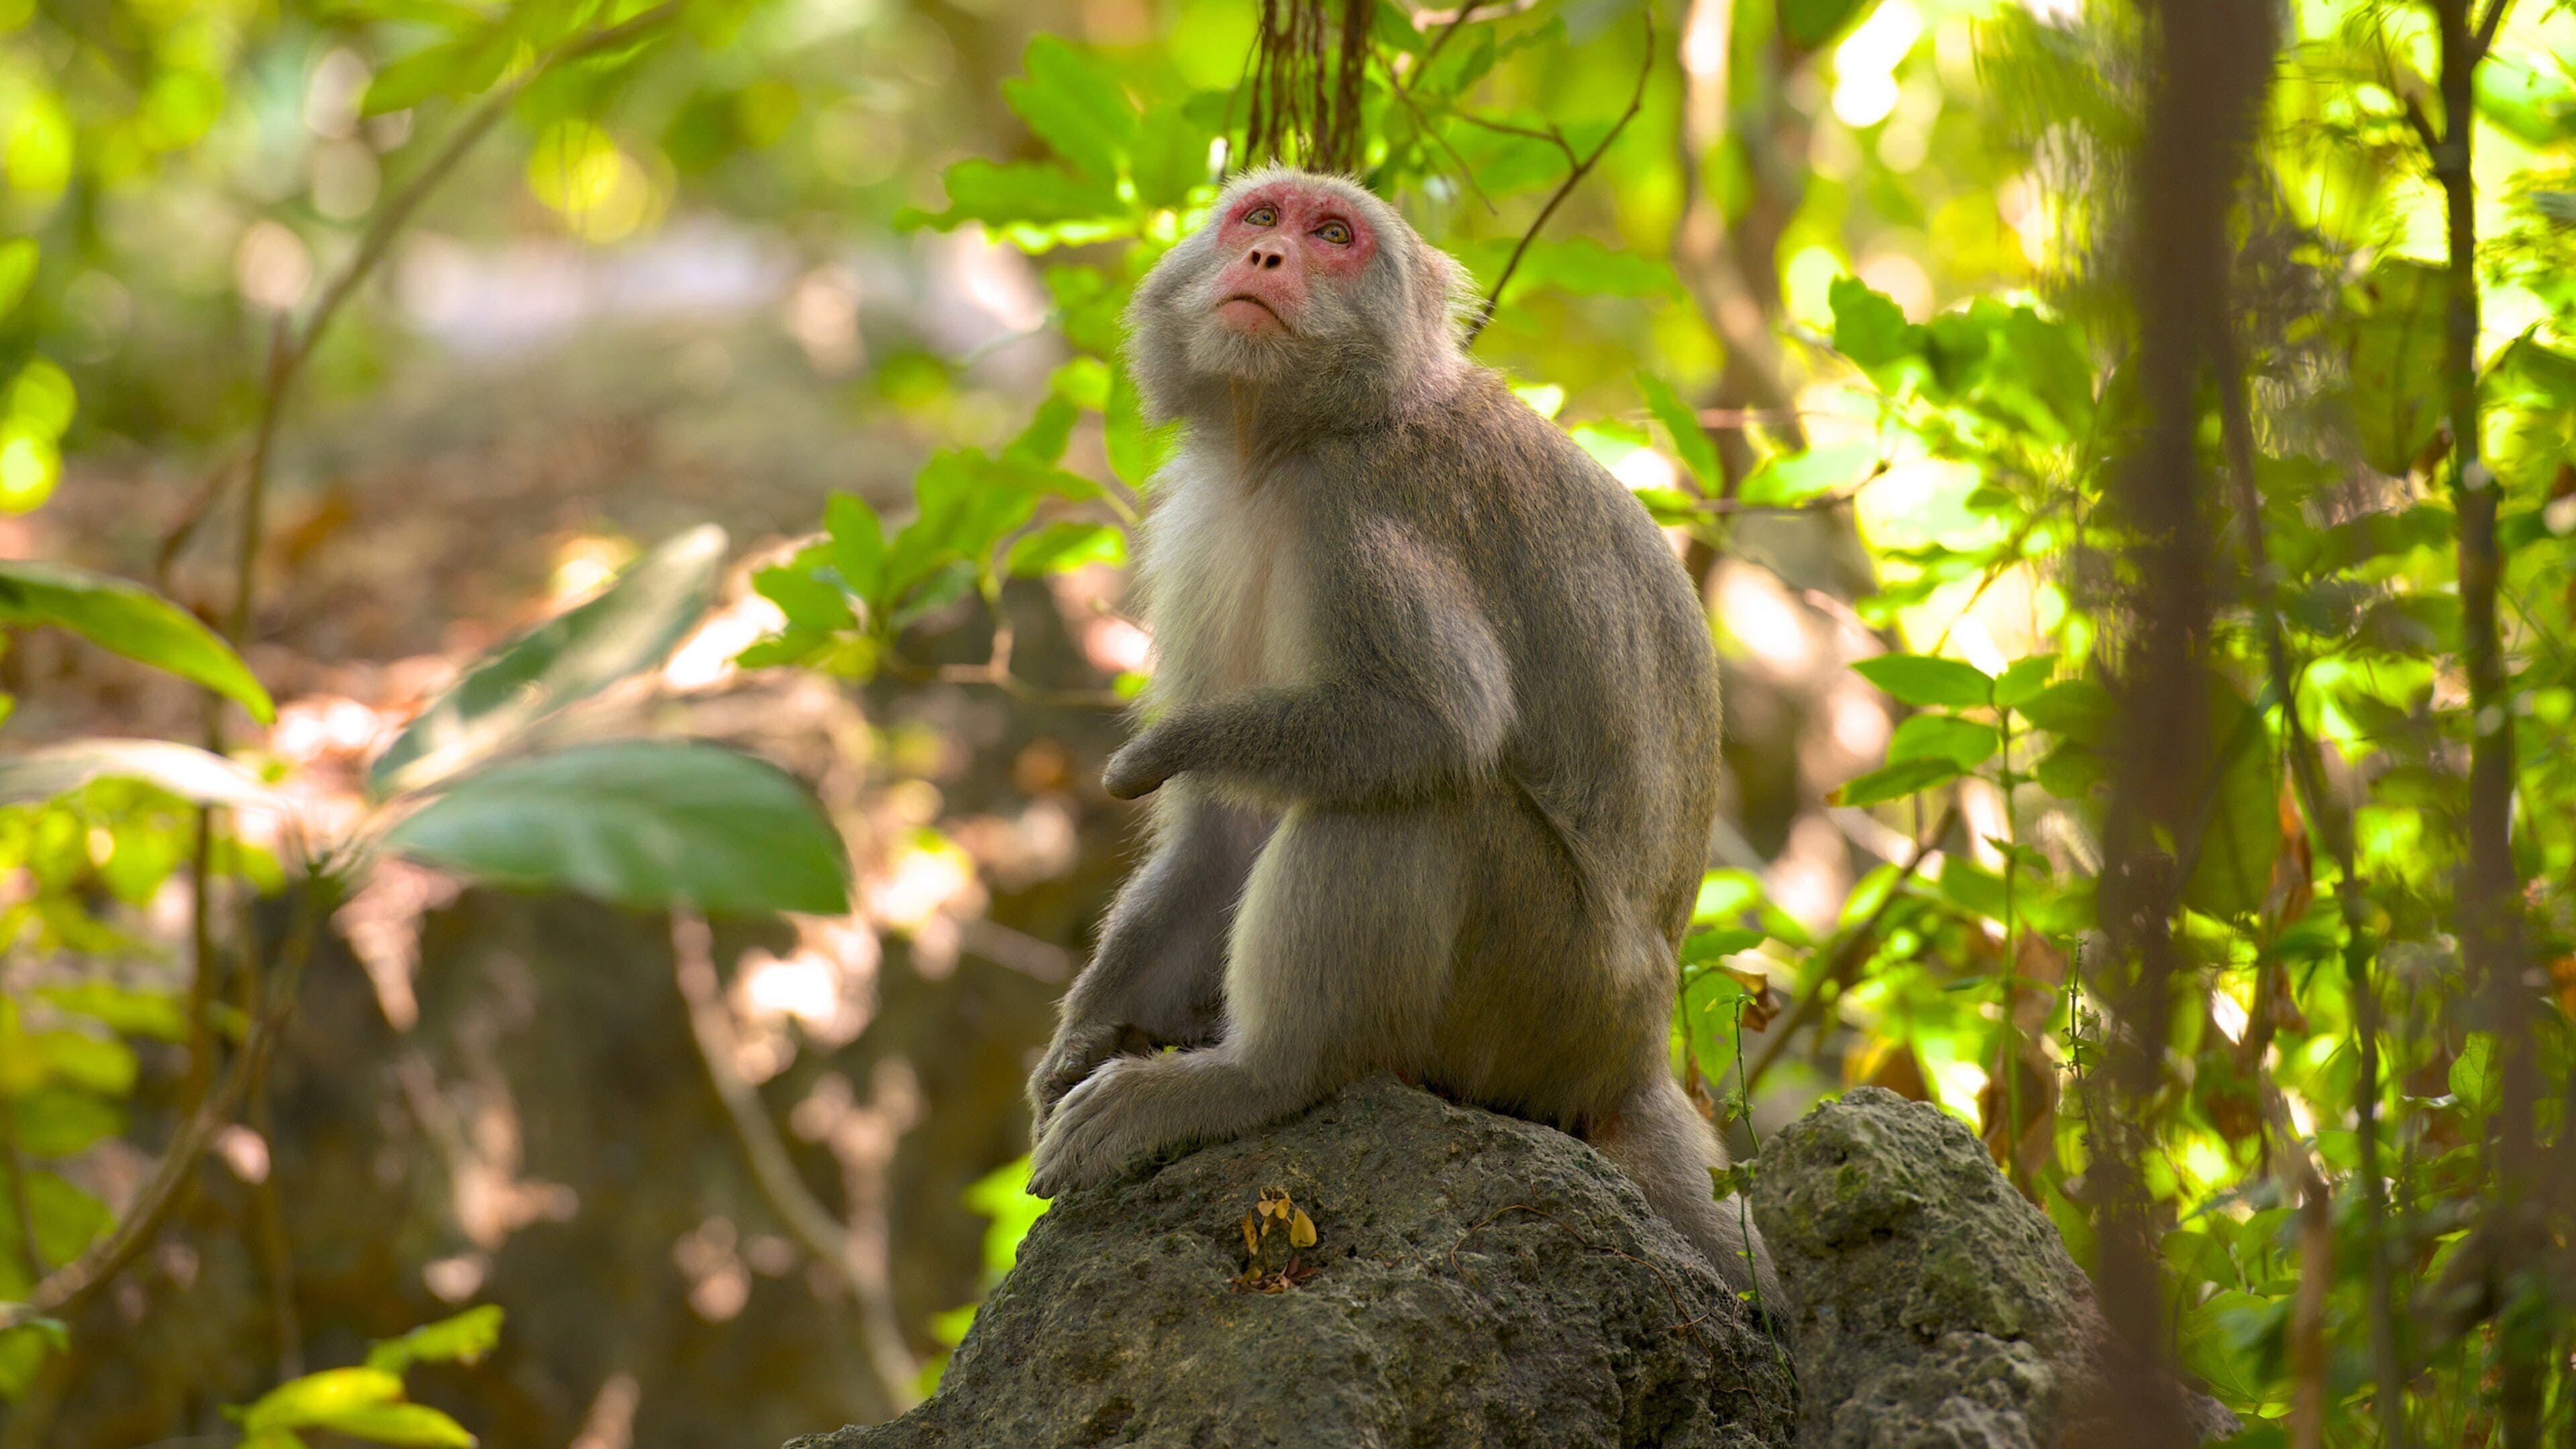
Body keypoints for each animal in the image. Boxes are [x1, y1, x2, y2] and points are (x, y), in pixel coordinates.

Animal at [1025, 165, 1779, 1311]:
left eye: (1334, 236)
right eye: (1260, 218)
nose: (1266, 257)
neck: (1287, 441)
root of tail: (1640, 1055)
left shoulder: (1364, 516)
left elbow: (1431, 722)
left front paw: (1164, 748)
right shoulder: (1199, 529)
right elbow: (1218, 833)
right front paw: (1086, 1031)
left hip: (1543, 990)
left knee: (1416, 798)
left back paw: (1257, 1077)